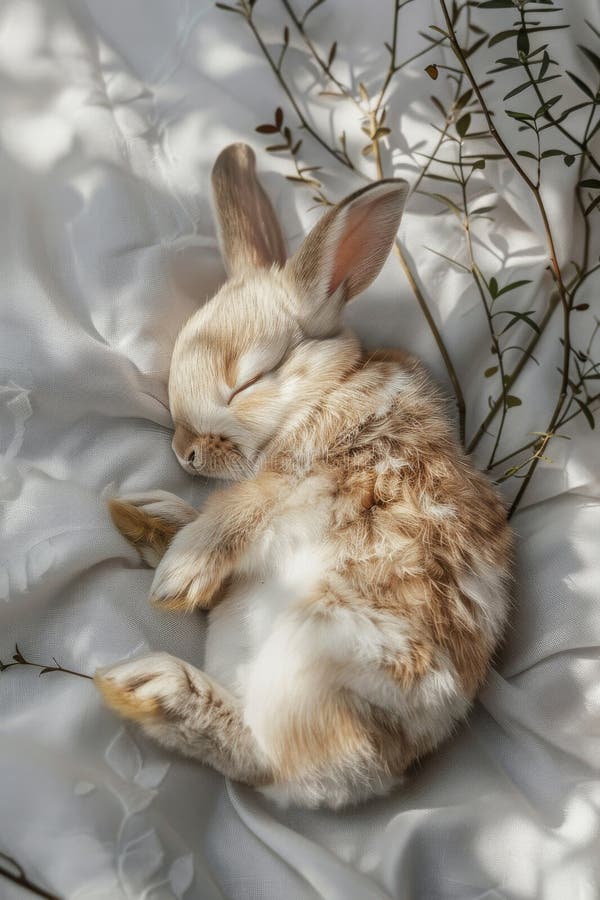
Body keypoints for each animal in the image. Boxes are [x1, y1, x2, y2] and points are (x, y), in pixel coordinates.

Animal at [95, 143, 513, 809]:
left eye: (245, 382)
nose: (185, 453)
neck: (325, 390)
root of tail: (385, 767)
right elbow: (214, 516)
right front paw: (166, 526)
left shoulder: (294, 479)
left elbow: (230, 518)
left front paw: (175, 579)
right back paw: (144, 521)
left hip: (313, 651)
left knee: (268, 759)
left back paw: (150, 687)